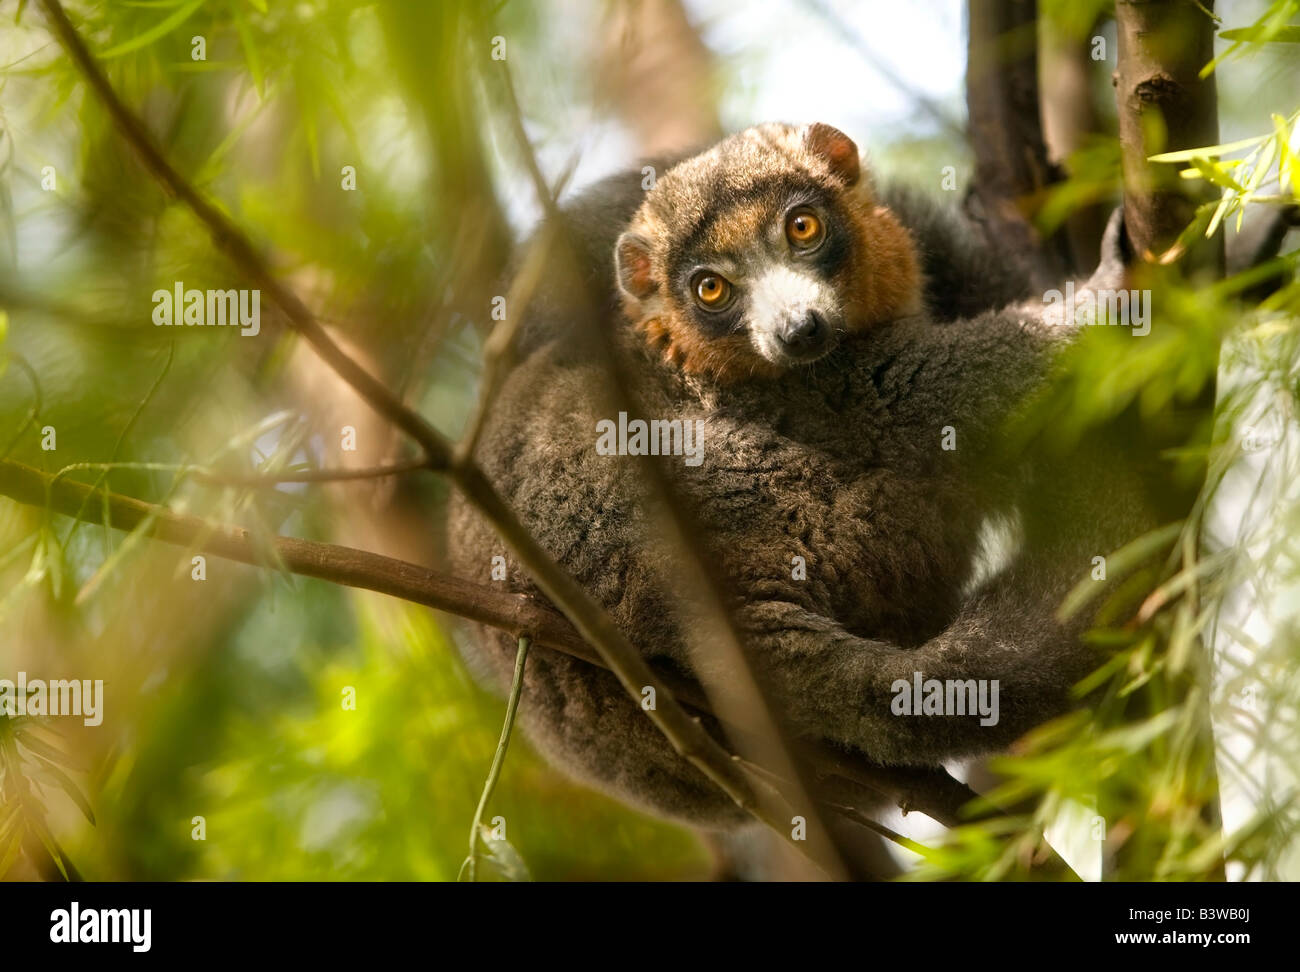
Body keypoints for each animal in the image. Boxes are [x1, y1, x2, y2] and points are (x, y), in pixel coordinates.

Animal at [446, 121, 1158, 829]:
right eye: (711, 289)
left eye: (802, 229)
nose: (797, 329)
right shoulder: (817, 390)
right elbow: (934, 386)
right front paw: (1112, 288)